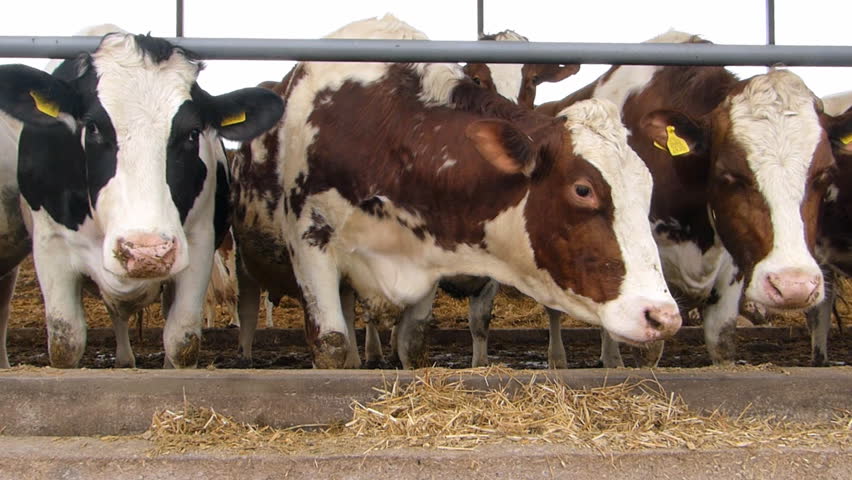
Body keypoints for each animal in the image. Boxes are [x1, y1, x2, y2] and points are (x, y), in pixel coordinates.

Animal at [0, 26, 283, 368]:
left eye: (192, 133)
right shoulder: (50, 247)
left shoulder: (198, 245)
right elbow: (65, 344)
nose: (147, 252)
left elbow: (182, 342)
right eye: (92, 127)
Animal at [231, 14, 681, 369]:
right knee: (249, 309)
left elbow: (412, 344)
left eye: (647, 189)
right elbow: (331, 346)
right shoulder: (310, 246)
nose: (662, 316)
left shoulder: (426, 255)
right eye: (583, 189)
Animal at [536, 30, 837, 367]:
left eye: (825, 174)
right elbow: (650, 350)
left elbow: (722, 342)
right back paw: (558, 359)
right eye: (729, 175)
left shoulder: (732, 263)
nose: (793, 286)